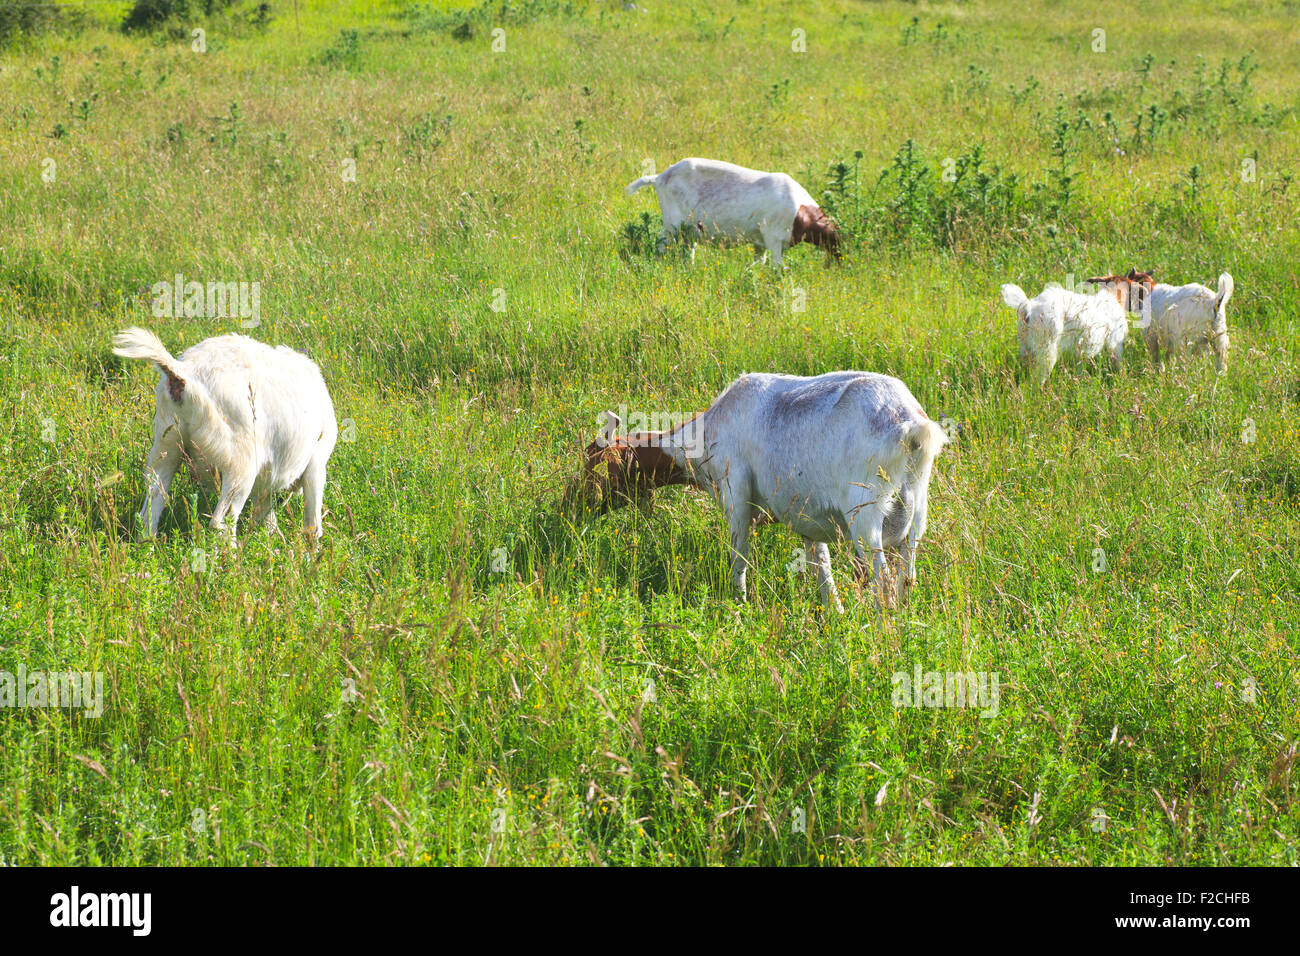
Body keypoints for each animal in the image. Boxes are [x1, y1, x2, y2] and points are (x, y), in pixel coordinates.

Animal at [112, 327, 338, 541]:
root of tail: (183, 374)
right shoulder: (317, 460)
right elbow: (312, 522)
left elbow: (266, 514)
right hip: (239, 461)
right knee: (221, 522)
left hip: (166, 445)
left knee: (150, 511)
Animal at [581, 371, 946, 611]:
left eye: (596, 465)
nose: (577, 508)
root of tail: (913, 427)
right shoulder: (809, 517)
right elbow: (822, 567)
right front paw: (835, 615)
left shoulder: (736, 495)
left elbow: (739, 556)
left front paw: (739, 605)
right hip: (916, 513)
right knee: (908, 578)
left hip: (866, 515)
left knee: (883, 583)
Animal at [625, 158, 841, 268]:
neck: (800, 210)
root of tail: (659, 177)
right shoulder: (773, 237)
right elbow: (777, 267)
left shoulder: (760, 243)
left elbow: (756, 265)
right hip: (672, 224)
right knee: (661, 245)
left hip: (689, 230)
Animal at [999, 281, 1129, 383]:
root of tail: (1028, 306)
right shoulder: (1114, 342)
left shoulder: (1080, 351)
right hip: (1046, 347)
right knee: (1037, 378)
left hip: (1024, 344)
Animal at [1088, 269, 1233, 373]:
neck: (1148, 293)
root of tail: (1215, 302)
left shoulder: (1152, 336)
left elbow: (1156, 356)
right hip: (1219, 336)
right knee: (1221, 361)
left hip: (1188, 340)